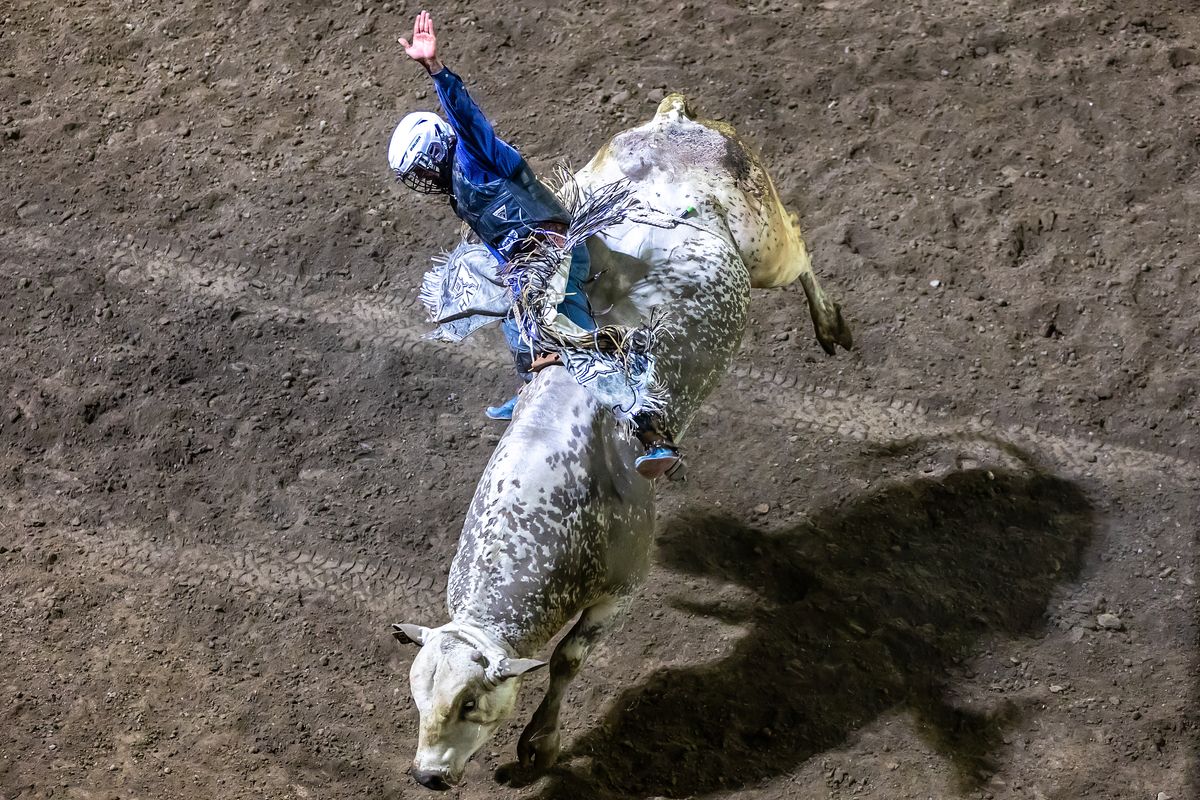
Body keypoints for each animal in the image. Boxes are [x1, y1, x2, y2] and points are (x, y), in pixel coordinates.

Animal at [391, 94, 852, 790]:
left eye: (470, 702)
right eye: (419, 695)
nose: (429, 775)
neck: (548, 508)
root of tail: (674, 123)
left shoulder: (624, 586)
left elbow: (568, 659)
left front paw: (539, 747)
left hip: (765, 245)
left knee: (798, 247)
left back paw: (830, 325)